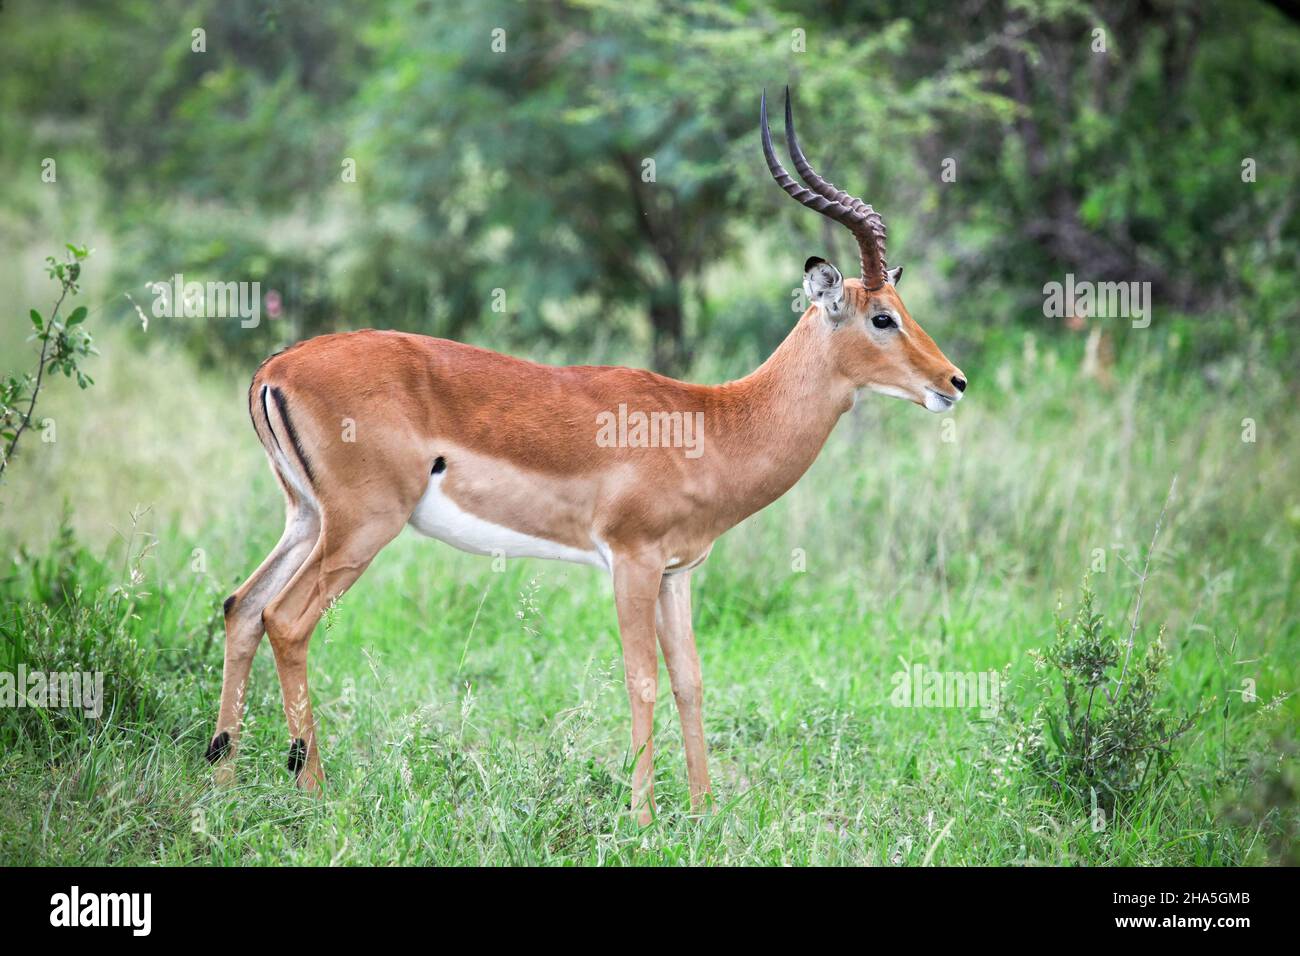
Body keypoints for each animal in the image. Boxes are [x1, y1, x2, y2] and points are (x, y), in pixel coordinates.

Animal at [206, 89, 966, 823]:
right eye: (882, 318)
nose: (954, 382)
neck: (713, 422)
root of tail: (276, 367)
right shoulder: (630, 560)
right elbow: (642, 679)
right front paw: (643, 818)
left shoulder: (677, 572)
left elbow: (690, 680)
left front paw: (704, 812)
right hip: (361, 526)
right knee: (287, 620)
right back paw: (313, 792)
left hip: (307, 517)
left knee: (242, 607)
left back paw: (223, 782)